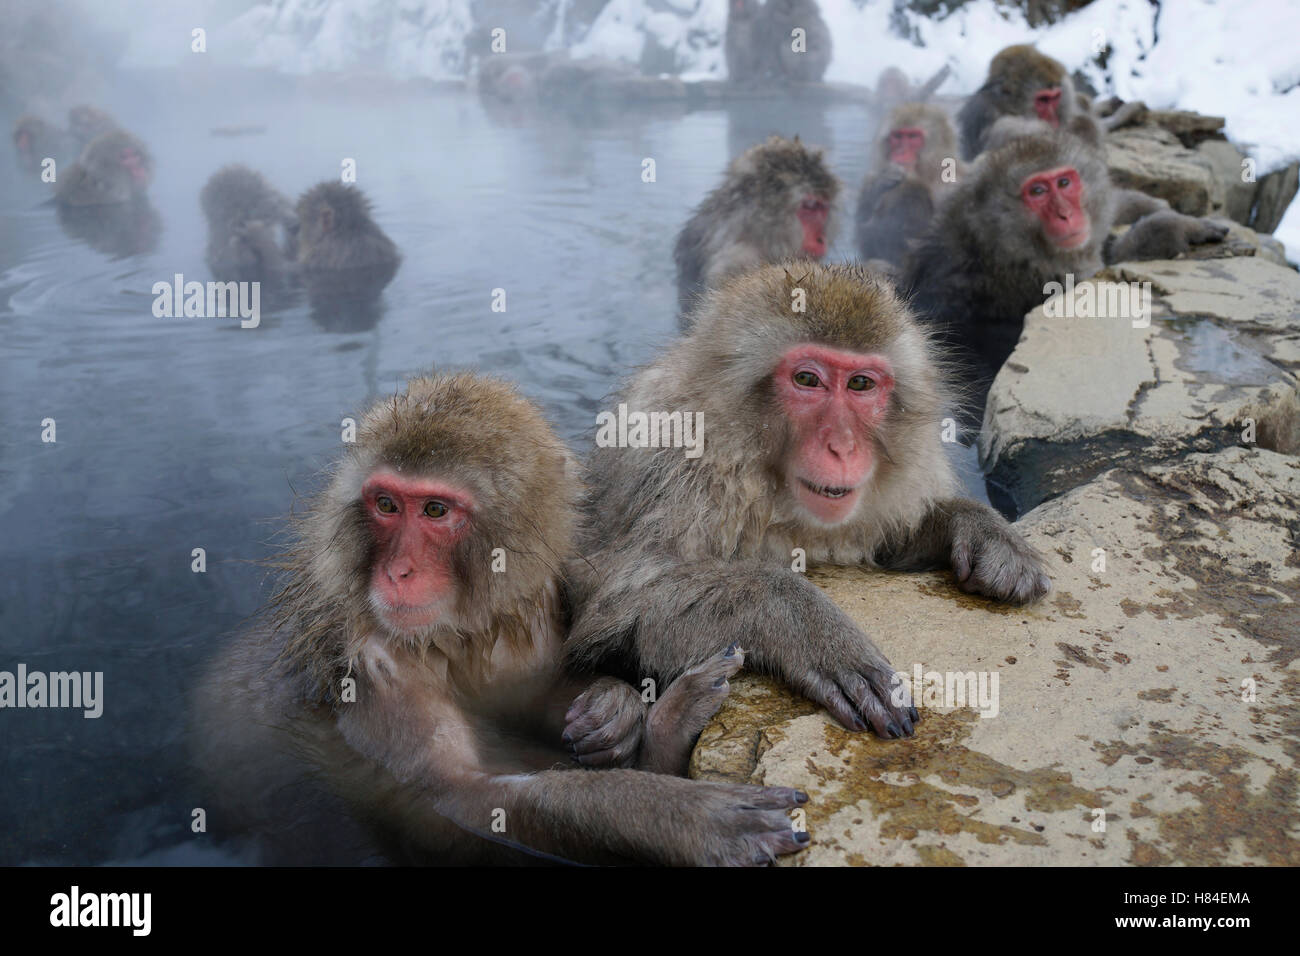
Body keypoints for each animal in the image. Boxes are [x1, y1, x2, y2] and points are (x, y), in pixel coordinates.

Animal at [194, 371, 811, 866]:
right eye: (386, 505)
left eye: (435, 510)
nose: (396, 572)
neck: (462, 630)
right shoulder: (375, 662)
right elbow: (467, 797)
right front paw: (680, 815)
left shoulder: (535, 614)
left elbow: (536, 696)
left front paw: (613, 710)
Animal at [565, 262, 1051, 741]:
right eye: (806, 380)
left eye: (860, 384)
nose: (843, 446)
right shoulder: (673, 467)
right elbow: (625, 604)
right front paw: (811, 628)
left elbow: (887, 547)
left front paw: (977, 525)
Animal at [903, 116, 1228, 423]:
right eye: (1037, 191)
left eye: (1064, 183)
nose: (1066, 214)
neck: (996, 245)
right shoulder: (1034, 280)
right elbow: (1102, 272)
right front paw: (1170, 229)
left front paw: (1142, 203)